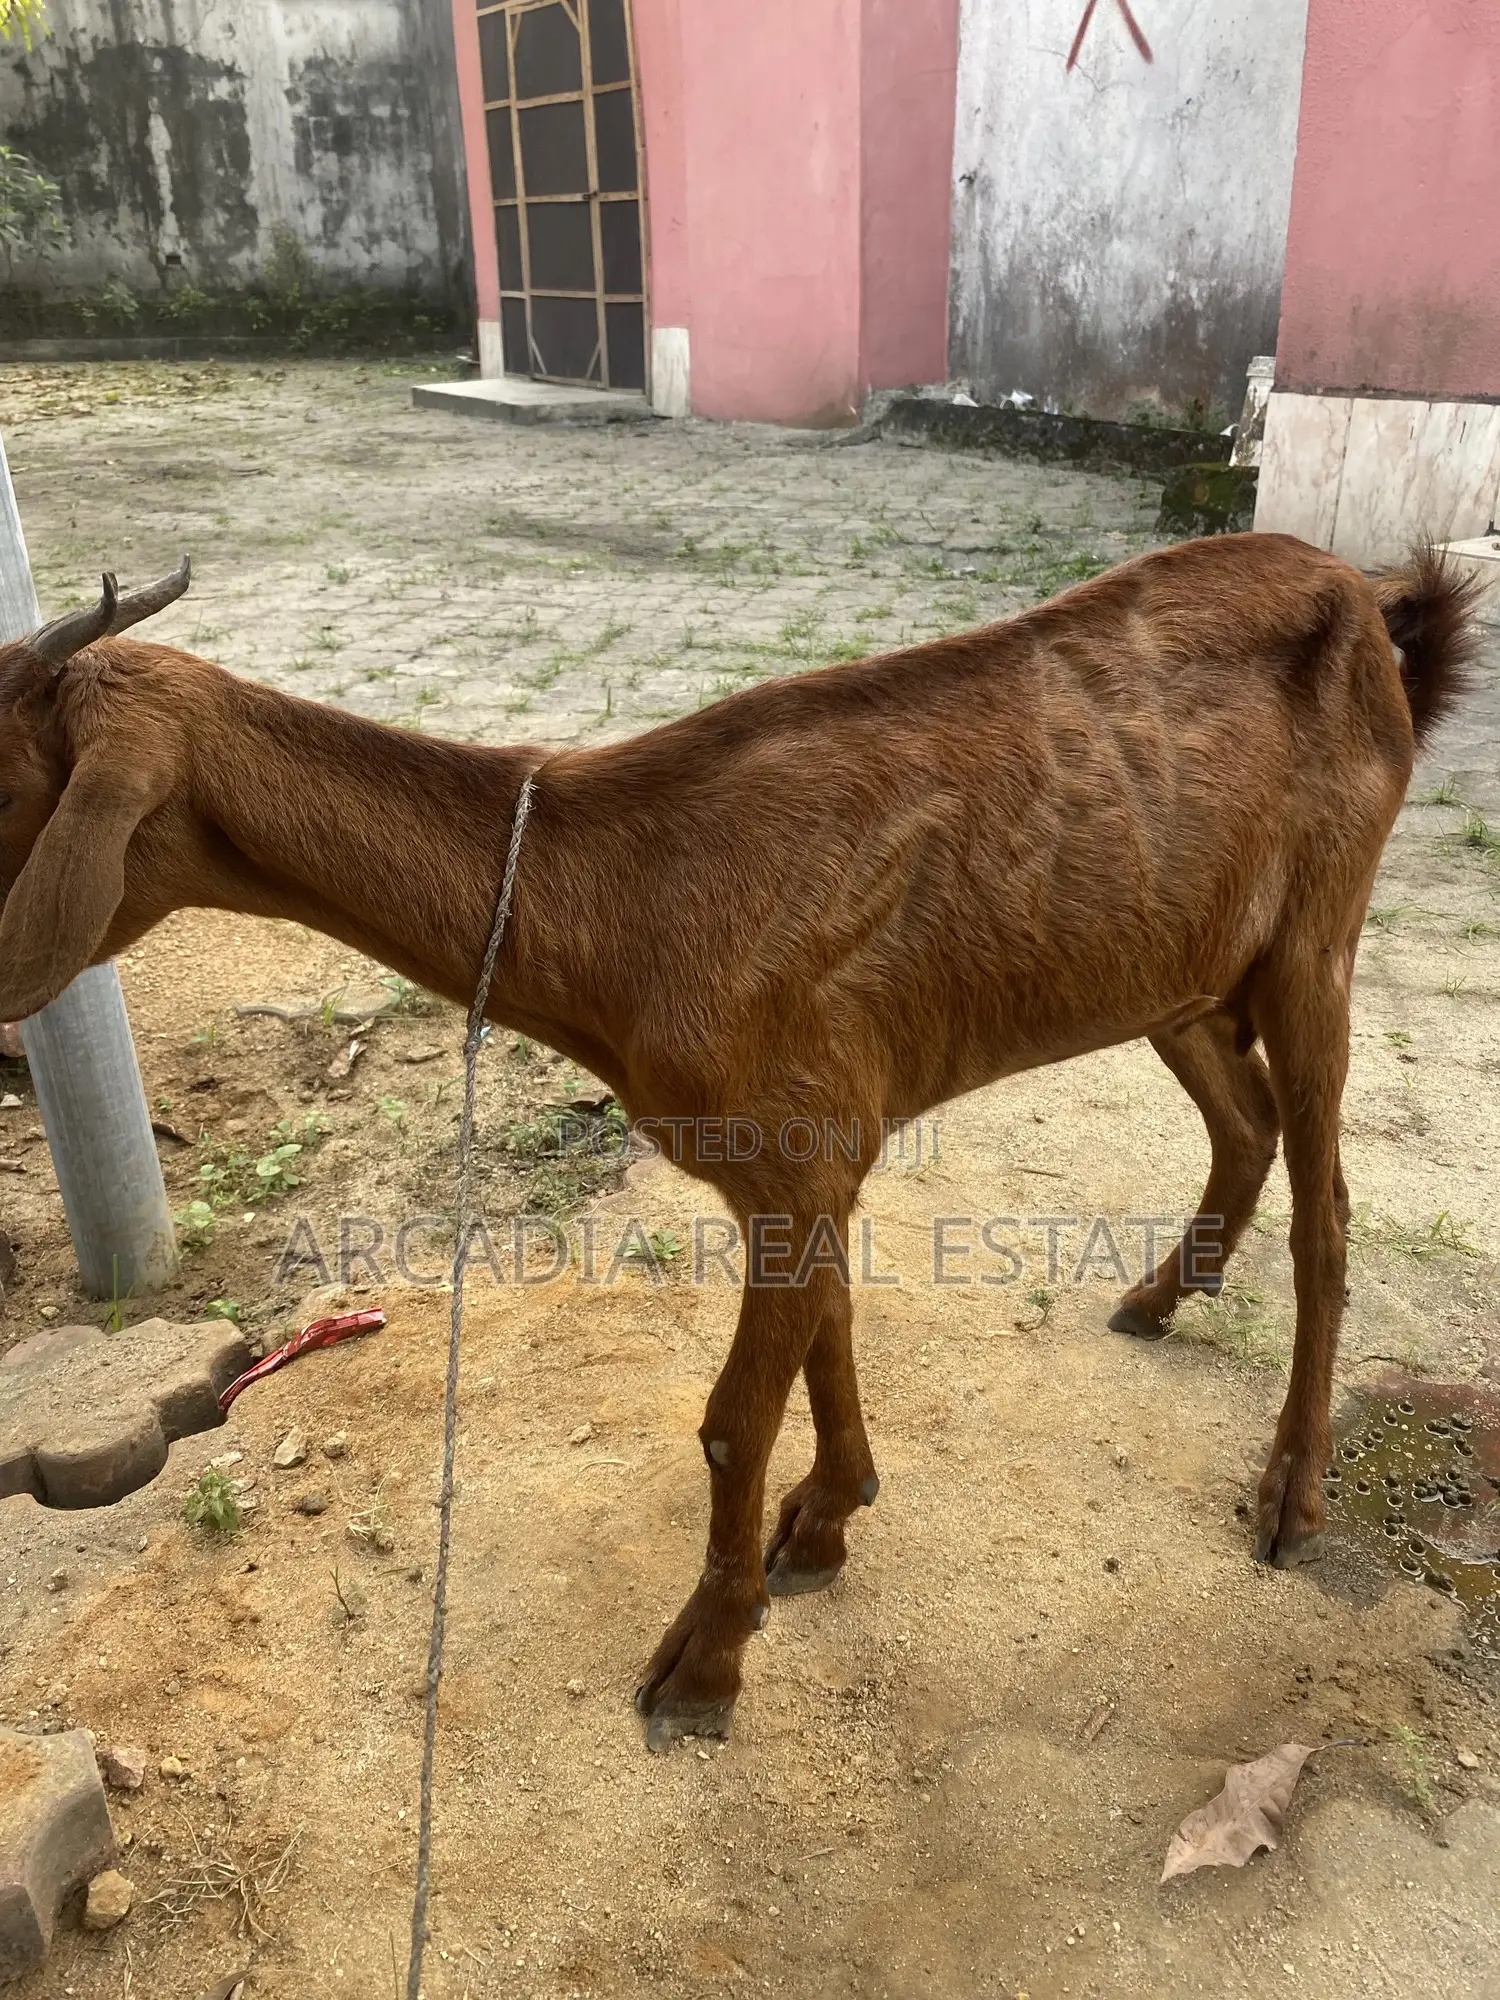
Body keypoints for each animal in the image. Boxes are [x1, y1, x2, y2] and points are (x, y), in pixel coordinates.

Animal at [0, 535, 1478, 1750]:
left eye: (2, 782)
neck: (617, 899)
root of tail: (1369, 596)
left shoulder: (801, 1143)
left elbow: (727, 1420)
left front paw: (705, 1664)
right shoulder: (799, 1162)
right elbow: (826, 1328)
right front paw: (827, 1520)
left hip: (1320, 932)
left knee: (1329, 1204)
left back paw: (1291, 1494)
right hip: (1179, 962)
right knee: (1246, 1117)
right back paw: (1164, 1296)